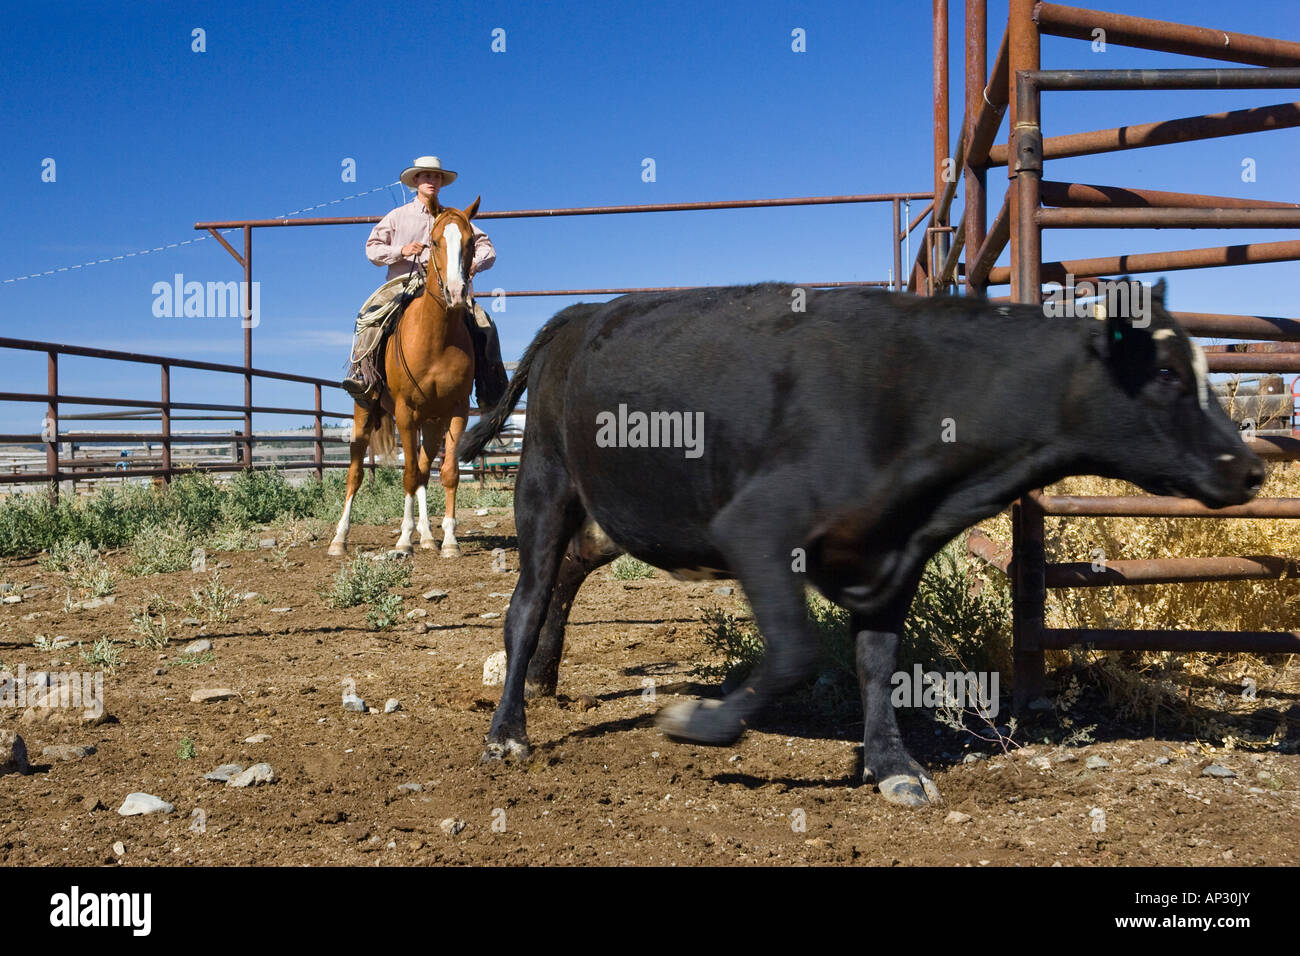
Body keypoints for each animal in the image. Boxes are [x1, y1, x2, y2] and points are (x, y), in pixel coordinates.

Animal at [458, 281, 1263, 807]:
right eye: (1166, 374)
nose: (1250, 467)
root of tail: (583, 311)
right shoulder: (757, 527)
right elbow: (796, 652)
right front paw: (703, 722)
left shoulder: (895, 555)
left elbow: (877, 664)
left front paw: (893, 764)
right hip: (544, 487)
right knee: (527, 601)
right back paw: (508, 730)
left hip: (611, 517)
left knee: (565, 579)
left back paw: (544, 680)